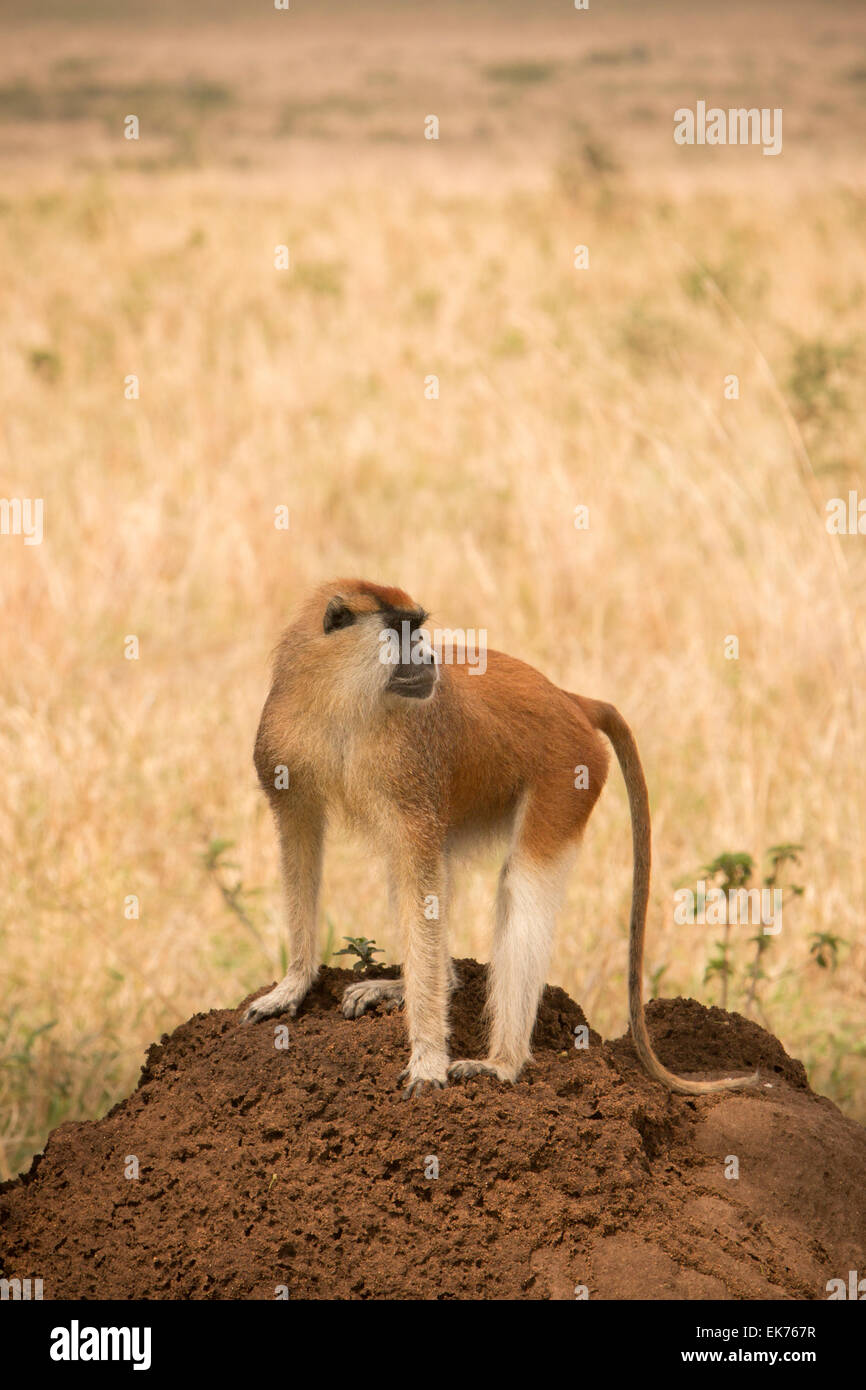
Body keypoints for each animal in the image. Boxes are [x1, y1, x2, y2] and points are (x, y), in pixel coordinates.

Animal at [244, 577, 759, 1099]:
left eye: (416, 628)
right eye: (402, 631)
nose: (428, 655)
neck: (341, 699)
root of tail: (569, 698)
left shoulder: (409, 766)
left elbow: (425, 878)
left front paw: (428, 1058)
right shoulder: (282, 740)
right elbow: (302, 845)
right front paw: (294, 984)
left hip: (570, 770)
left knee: (521, 887)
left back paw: (503, 1064)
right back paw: (434, 986)